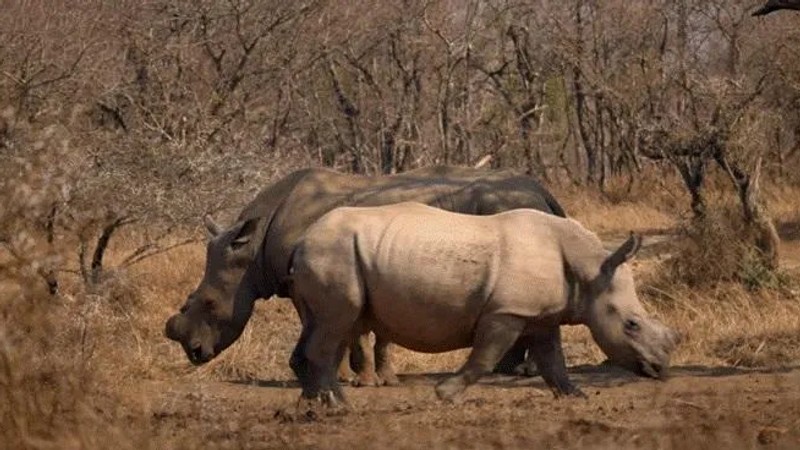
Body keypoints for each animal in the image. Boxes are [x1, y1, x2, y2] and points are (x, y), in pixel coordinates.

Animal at [164, 166, 567, 385]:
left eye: (209, 303)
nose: (195, 353)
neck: (253, 250)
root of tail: (542, 190)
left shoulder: (312, 278)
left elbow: (339, 328)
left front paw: (351, 376)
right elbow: (363, 330)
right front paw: (370, 378)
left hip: (509, 206)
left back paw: (517, 370)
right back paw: (515, 370)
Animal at [286, 202, 680, 405]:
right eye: (631, 324)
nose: (661, 369)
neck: (590, 269)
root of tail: (302, 239)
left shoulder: (541, 316)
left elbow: (554, 360)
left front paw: (575, 396)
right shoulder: (506, 311)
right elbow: (485, 358)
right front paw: (446, 394)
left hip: (331, 253)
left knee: (323, 326)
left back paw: (313, 405)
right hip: (333, 253)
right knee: (337, 324)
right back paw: (336, 403)